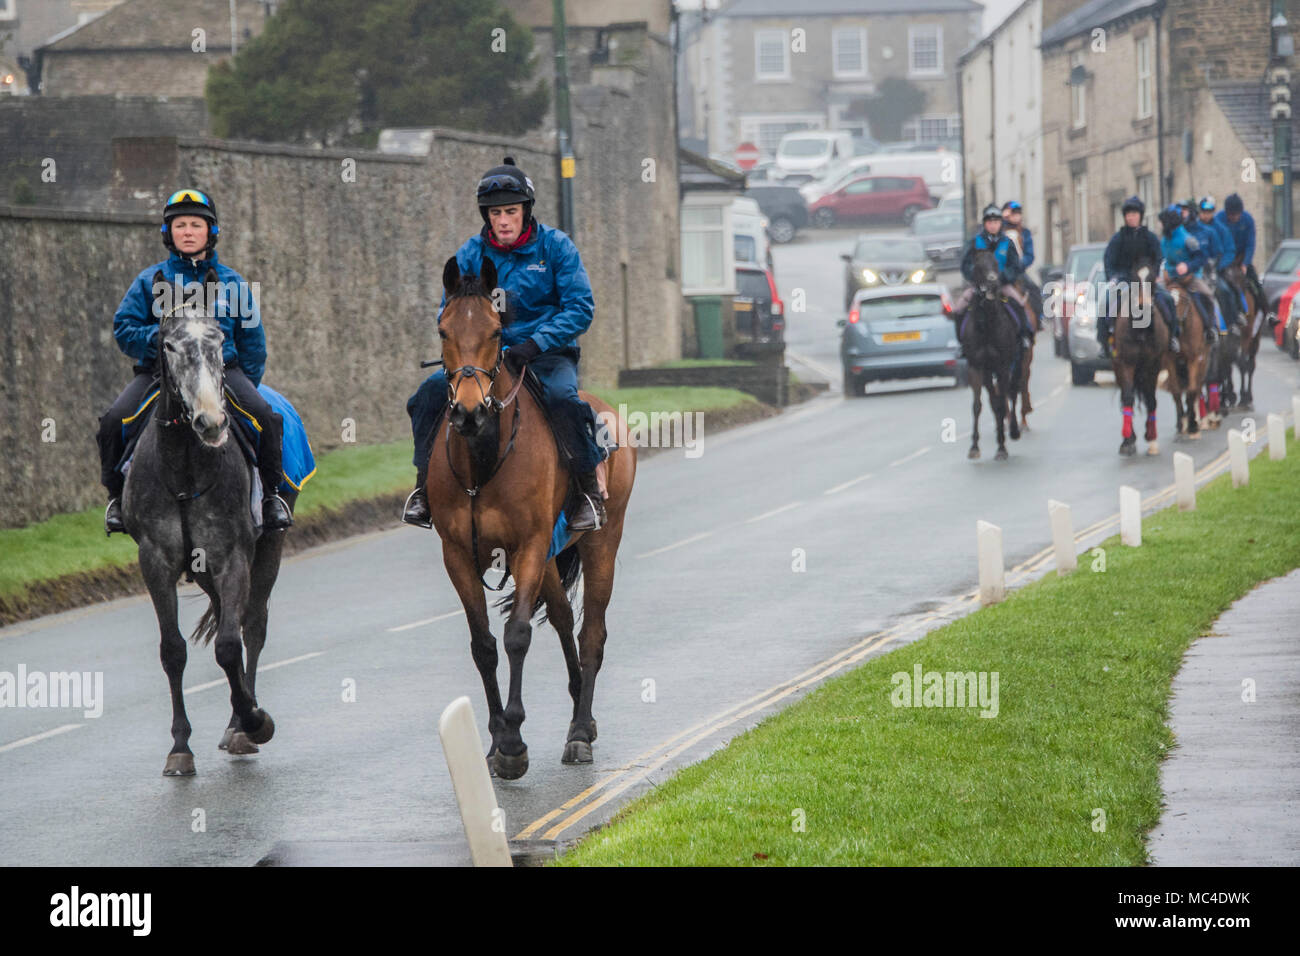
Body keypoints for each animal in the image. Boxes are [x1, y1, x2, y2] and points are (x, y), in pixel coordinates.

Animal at [122, 269, 293, 776]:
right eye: (168, 343)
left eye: (219, 339)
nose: (212, 422)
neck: (184, 468)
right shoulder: (155, 561)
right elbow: (173, 650)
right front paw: (180, 747)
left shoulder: (231, 556)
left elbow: (229, 645)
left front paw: (253, 722)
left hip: (266, 552)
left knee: (251, 626)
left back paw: (242, 723)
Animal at [427, 255, 636, 780]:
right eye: (443, 329)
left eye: (497, 331)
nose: (468, 412)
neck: (483, 460)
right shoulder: (458, 554)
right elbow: (483, 644)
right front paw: (495, 738)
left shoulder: (528, 545)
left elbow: (516, 635)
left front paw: (514, 741)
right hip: (548, 562)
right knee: (562, 618)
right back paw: (581, 711)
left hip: (599, 545)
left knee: (591, 632)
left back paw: (579, 732)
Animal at [957, 248, 1020, 461]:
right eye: (979, 266)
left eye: (996, 263)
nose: (993, 283)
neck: (986, 325)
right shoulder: (975, 367)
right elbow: (978, 405)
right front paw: (974, 447)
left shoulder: (1003, 366)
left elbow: (1003, 402)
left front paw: (1002, 446)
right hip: (987, 373)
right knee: (995, 399)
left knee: (1012, 393)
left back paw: (1014, 431)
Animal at [1111, 260, 1167, 456]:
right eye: (1133, 279)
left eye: (1153, 279)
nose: (1144, 309)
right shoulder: (1125, 363)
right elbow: (1128, 396)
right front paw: (1128, 440)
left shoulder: (1154, 365)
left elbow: (1151, 399)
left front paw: (1152, 437)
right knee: (1126, 395)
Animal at [1159, 272, 1210, 440]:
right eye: (1167, 300)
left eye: (1184, 299)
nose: (1175, 323)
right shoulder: (1170, 361)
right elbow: (1176, 391)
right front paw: (1181, 424)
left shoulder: (1194, 359)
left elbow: (1192, 390)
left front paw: (1192, 425)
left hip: (1203, 360)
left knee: (1197, 386)